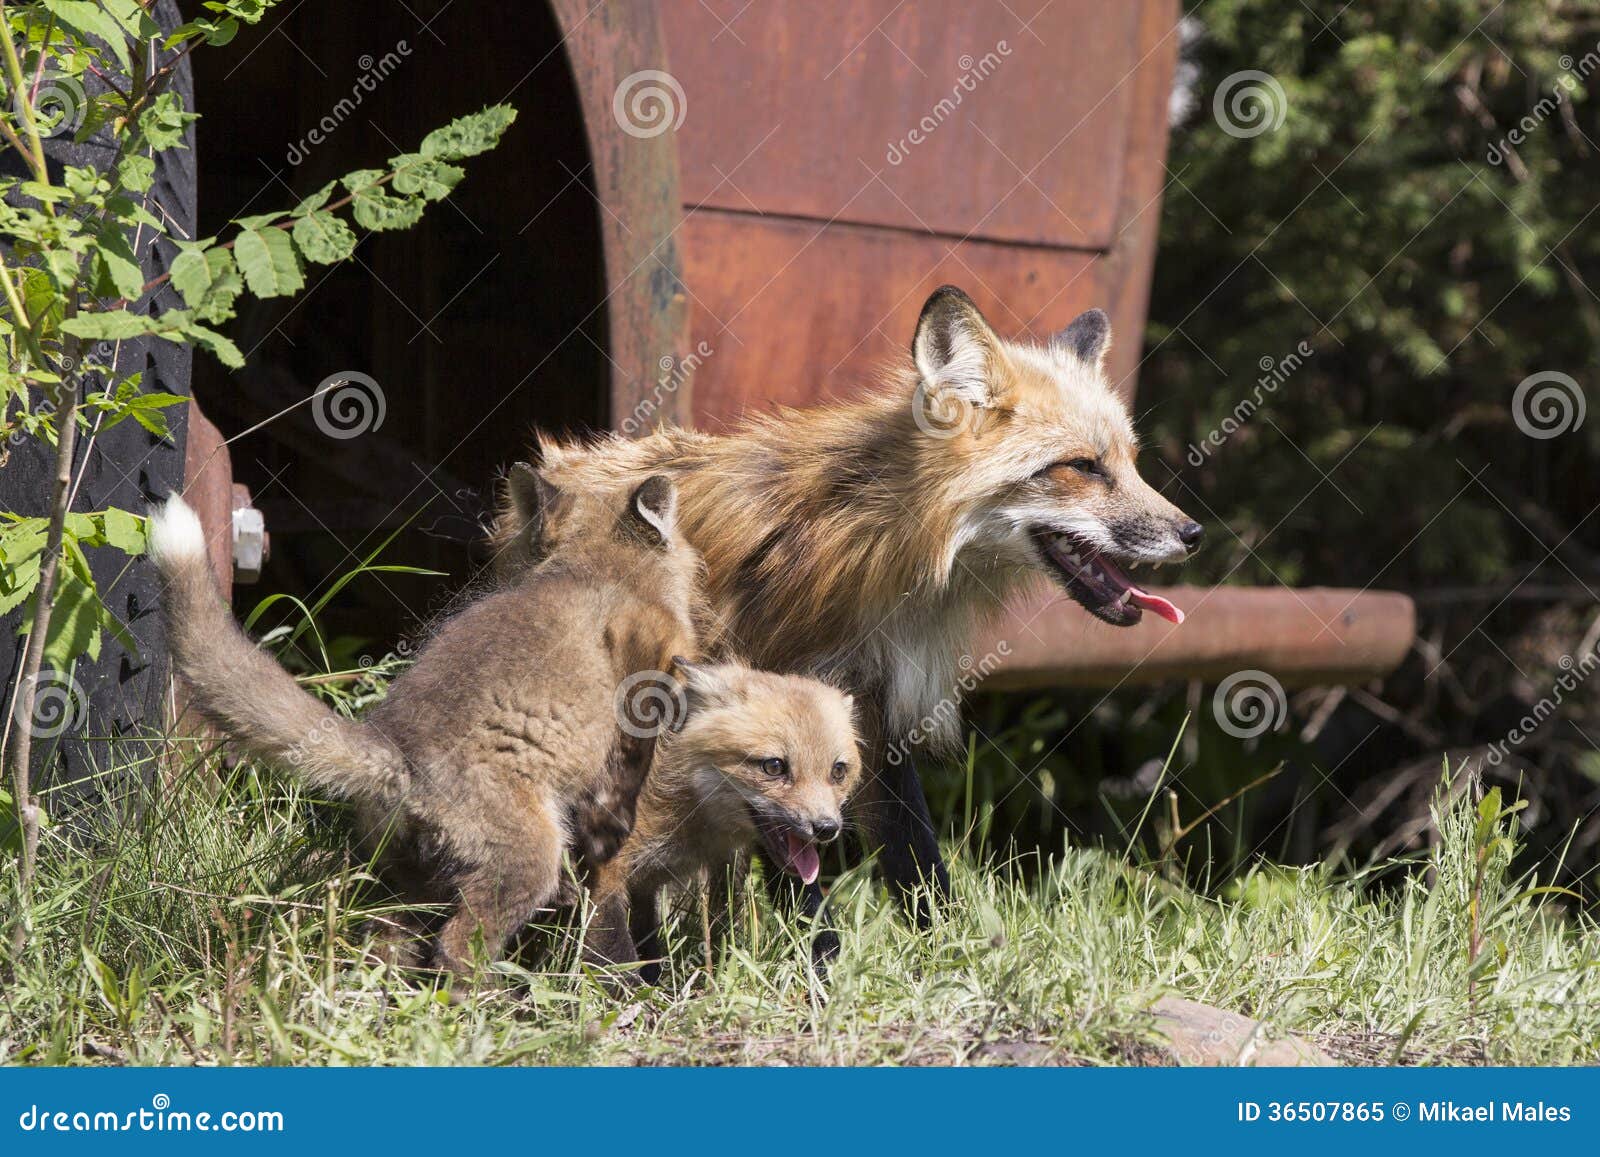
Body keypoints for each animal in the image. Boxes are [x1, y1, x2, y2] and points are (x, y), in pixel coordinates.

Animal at [148, 470, 697, 974]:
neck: (595, 569)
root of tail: (394, 754)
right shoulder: (644, 674)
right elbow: (625, 774)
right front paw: (610, 832)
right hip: (527, 859)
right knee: (456, 948)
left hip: (411, 889)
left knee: (389, 948)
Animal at [491, 286, 1203, 945]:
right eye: (1082, 468)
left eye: (1131, 463)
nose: (1193, 534)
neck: (871, 553)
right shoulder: (764, 712)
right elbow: (796, 860)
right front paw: (821, 968)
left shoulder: (872, 712)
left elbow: (917, 860)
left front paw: (947, 956)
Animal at [582, 660, 861, 981]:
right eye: (774, 766)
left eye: (838, 771)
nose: (827, 828)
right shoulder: (606, 871)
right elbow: (615, 954)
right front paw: (630, 991)